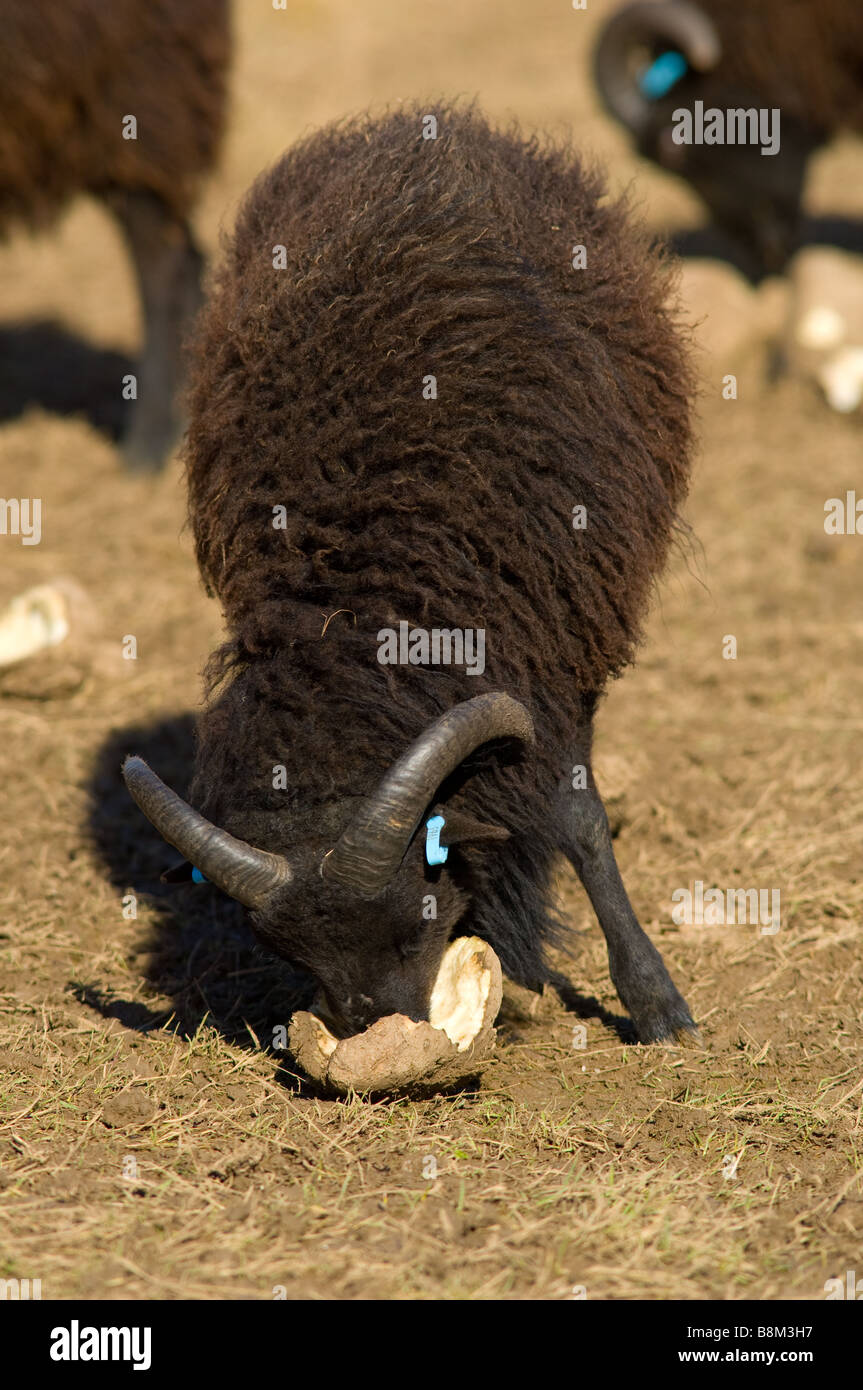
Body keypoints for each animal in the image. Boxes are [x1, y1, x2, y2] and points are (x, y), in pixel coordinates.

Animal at [122, 103, 700, 1060]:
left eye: (416, 915)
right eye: (288, 950)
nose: (377, 1030)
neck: (366, 603)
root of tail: (420, 126)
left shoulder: (560, 646)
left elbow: (577, 819)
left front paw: (652, 1002)